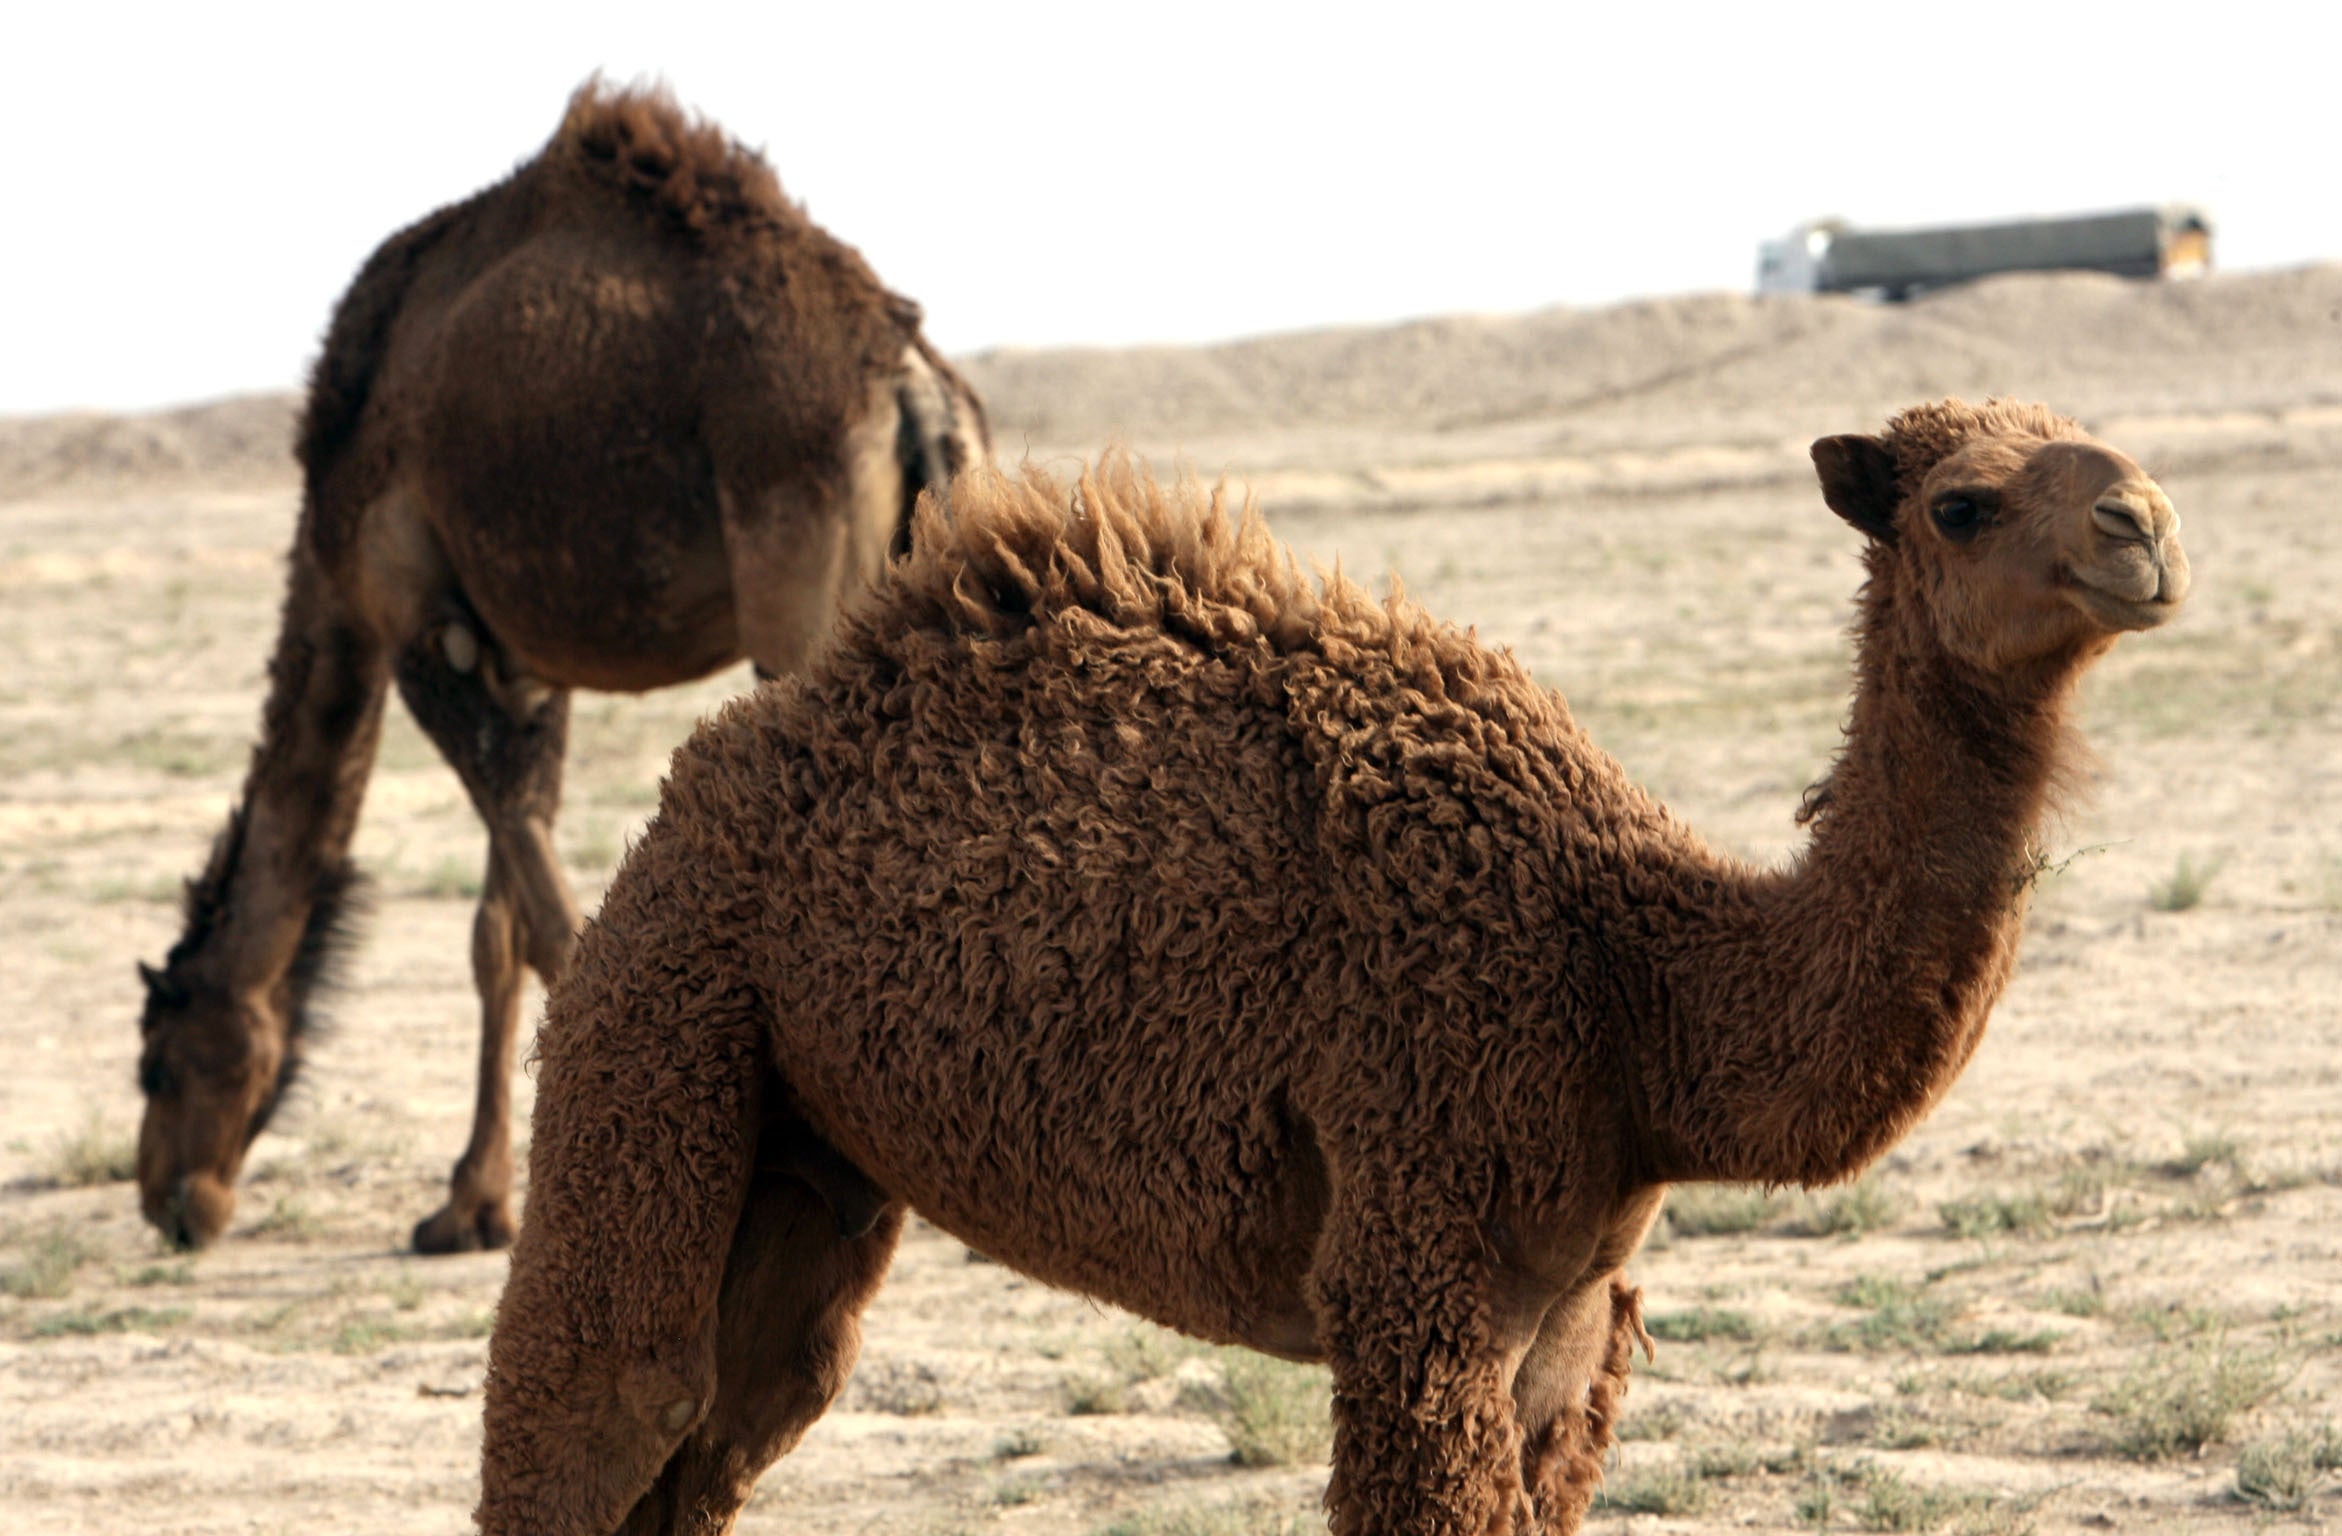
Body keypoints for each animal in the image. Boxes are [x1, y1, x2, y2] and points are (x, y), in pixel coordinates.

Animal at [131, 82, 988, 1254]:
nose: (166, 1201)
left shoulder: (418, 623)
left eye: (157, 1064)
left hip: (797, 563)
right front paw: (468, 1207)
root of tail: (913, 386)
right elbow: (492, 930)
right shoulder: (525, 660)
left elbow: (547, 920)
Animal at [476, 400, 2189, 1536]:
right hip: (666, 1011)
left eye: (2103, 451)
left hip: (805, 1148)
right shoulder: (1418, 1236)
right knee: (608, 1399)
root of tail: (701, 782)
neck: (1637, 984)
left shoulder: (1570, 1322)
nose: (2146, 529)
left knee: (723, 1424)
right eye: (1959, 504)